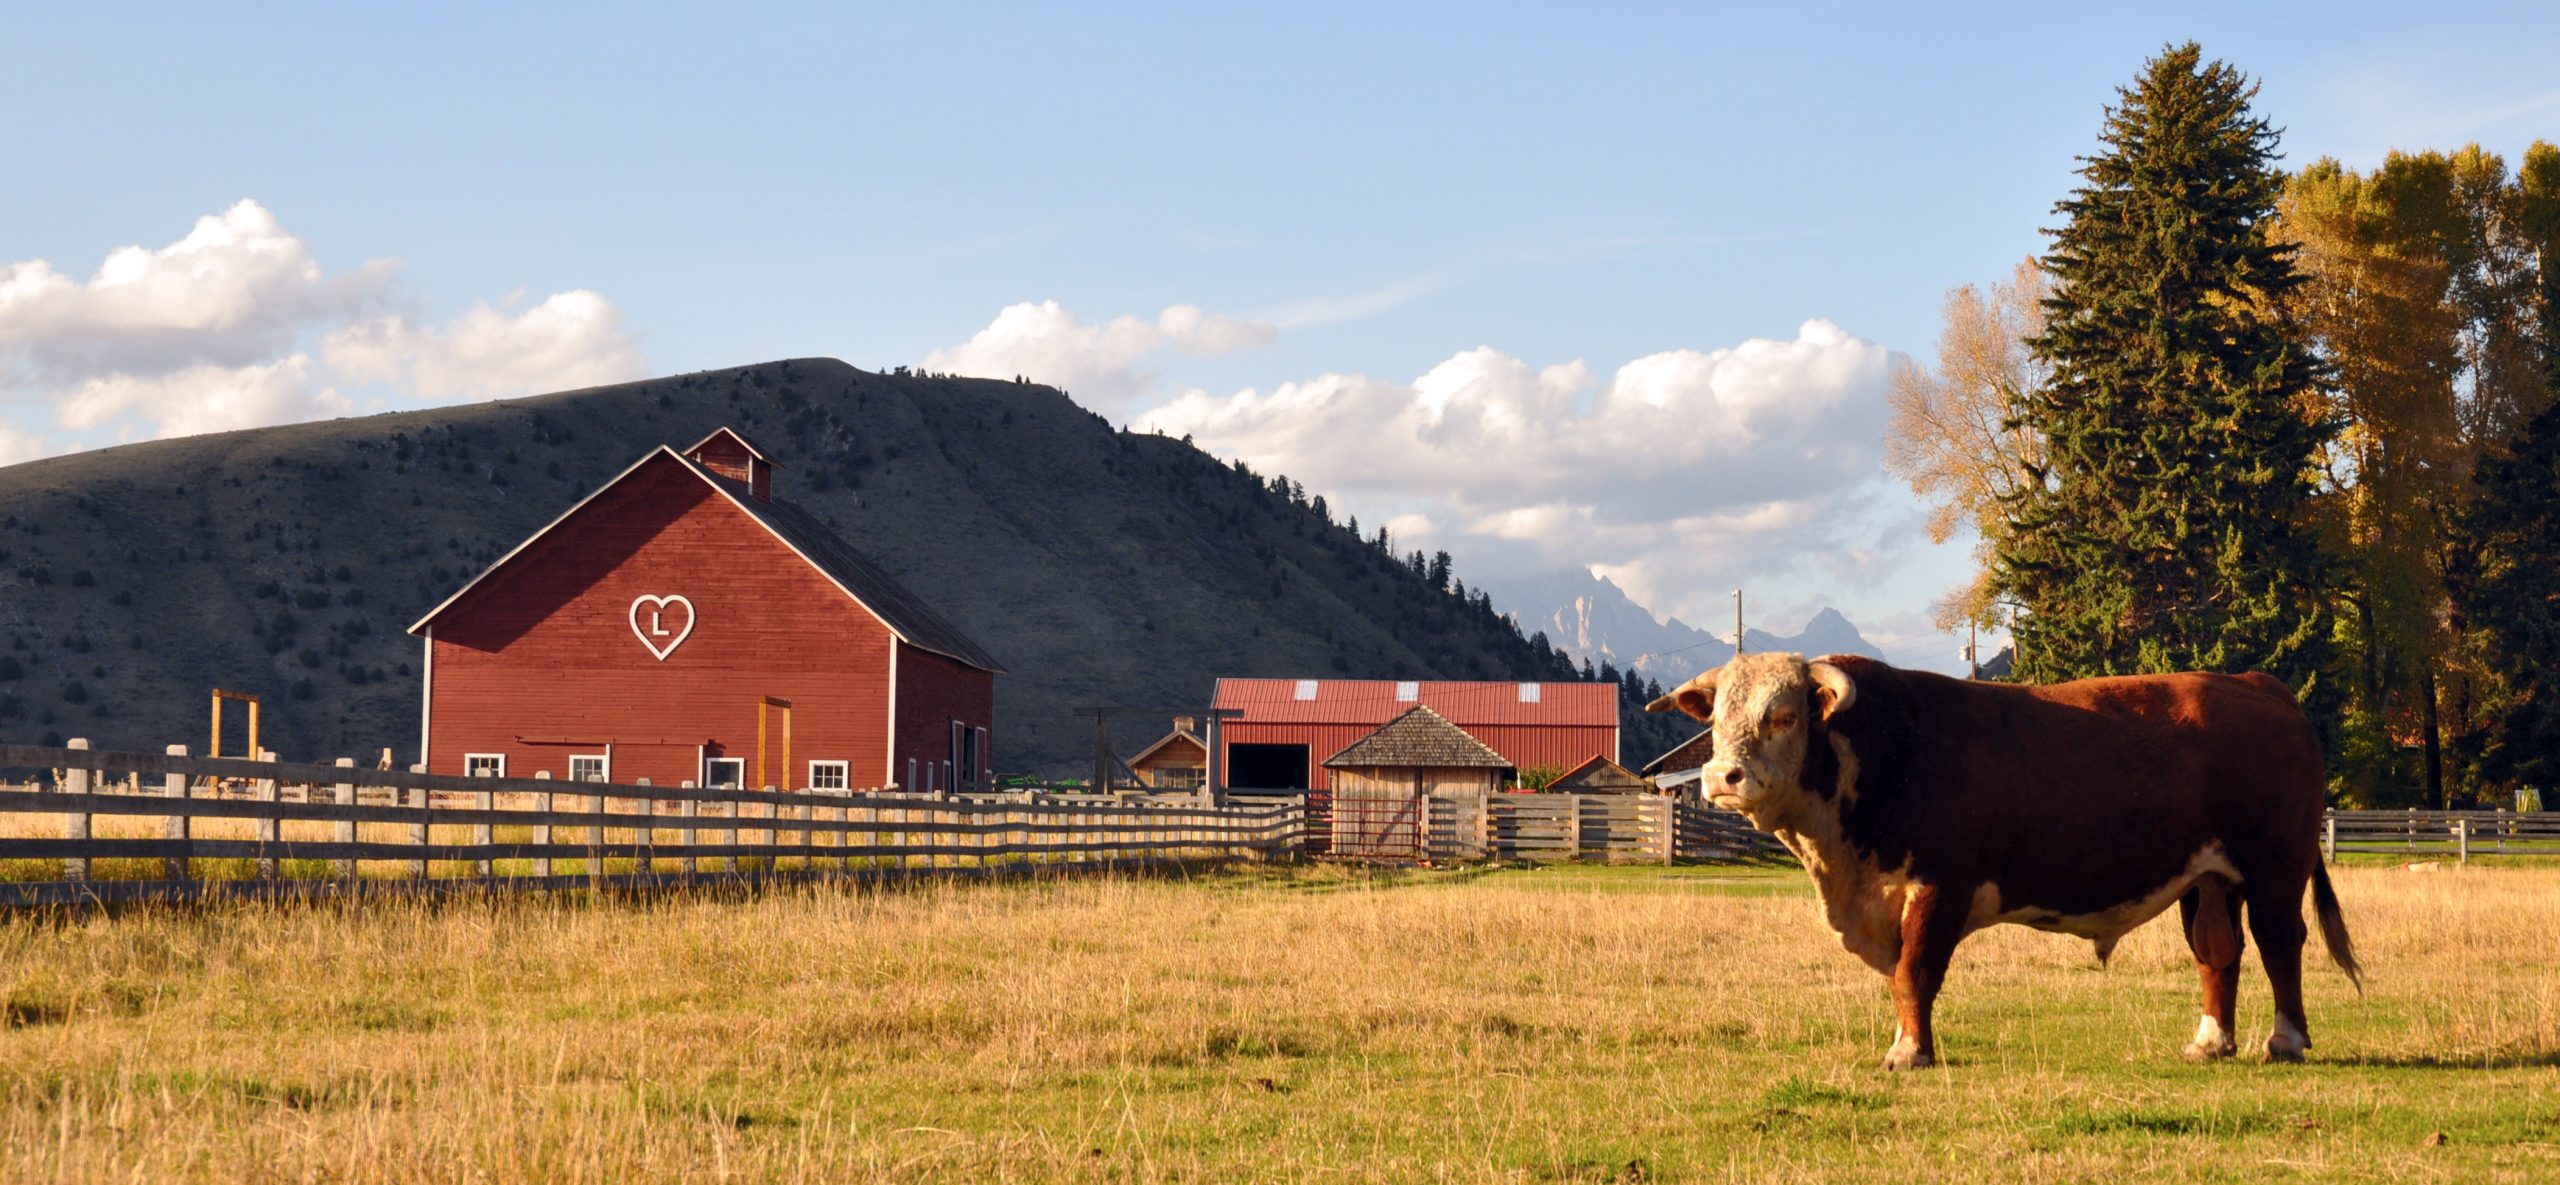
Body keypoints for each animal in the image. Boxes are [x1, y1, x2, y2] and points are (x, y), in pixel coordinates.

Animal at [1647, 652, 2359, 1070]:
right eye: (1717, 717)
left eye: (1785, 715)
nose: (1721, 776)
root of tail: (2254, 685)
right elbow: (1900, 975)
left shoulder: (1941, 883)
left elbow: (1914, 971)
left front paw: (1909, 1052)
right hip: (2208, 875)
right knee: (2217, 948)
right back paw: (2211, 1042)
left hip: (2274, 863)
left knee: (2278, 942)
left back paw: (2286, 1040)